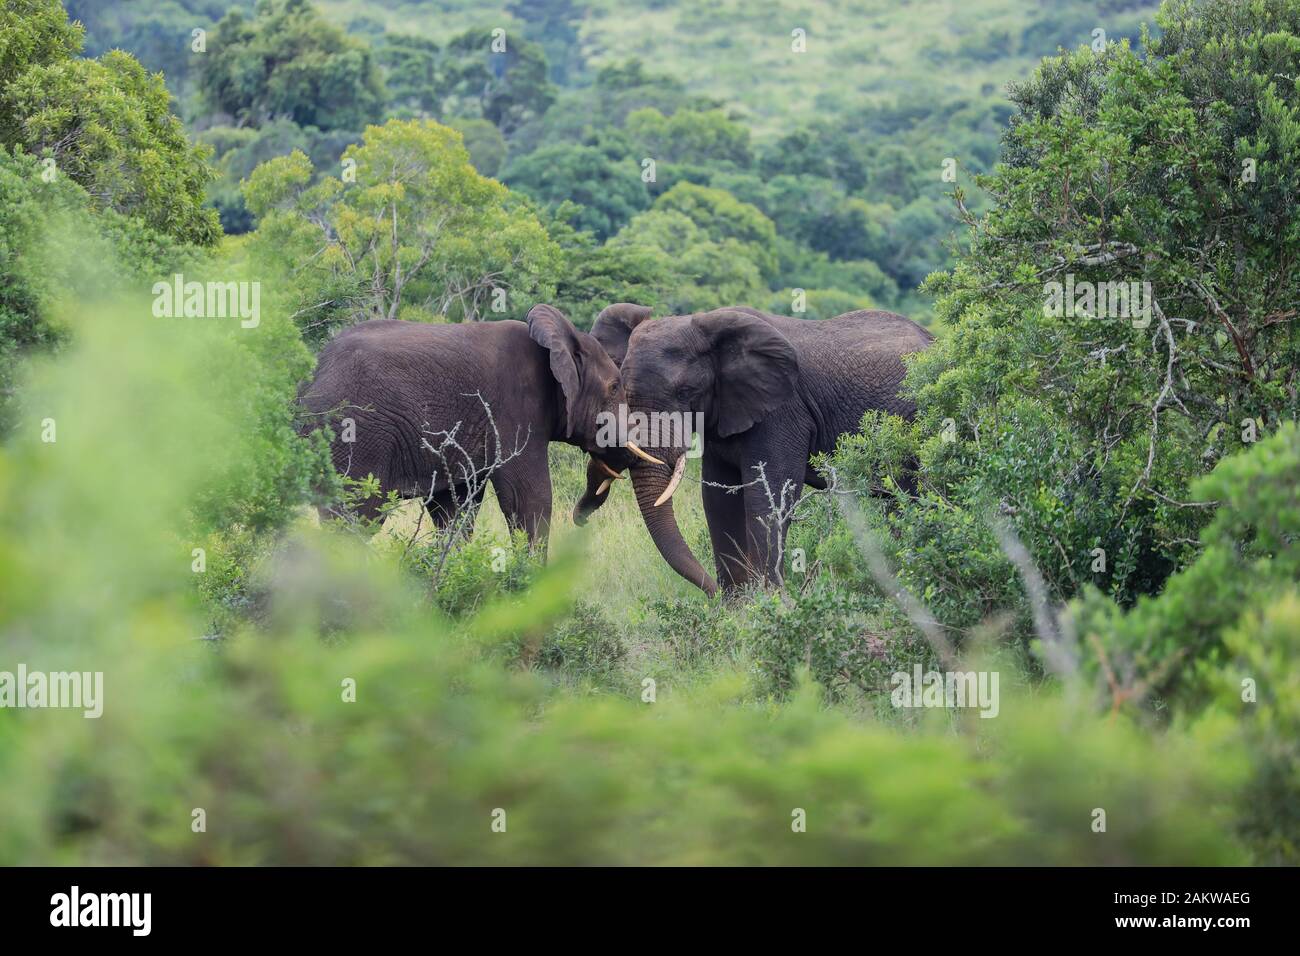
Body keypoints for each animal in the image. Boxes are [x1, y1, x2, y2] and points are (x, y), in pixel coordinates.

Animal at [299, 304, 628, 550]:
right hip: (354, 433)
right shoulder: (515, 410)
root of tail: (314, 375)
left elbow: (455, 507)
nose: (580, 522)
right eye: (614, 388)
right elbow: (529, 497)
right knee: (355, 517)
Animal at [586, 303, 934, 596]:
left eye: (687, 391)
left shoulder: (783, 411)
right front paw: (738, 608)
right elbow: (719, 499)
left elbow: (767, 498)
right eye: (622, 390)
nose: (712, 594)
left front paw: (770, 603)